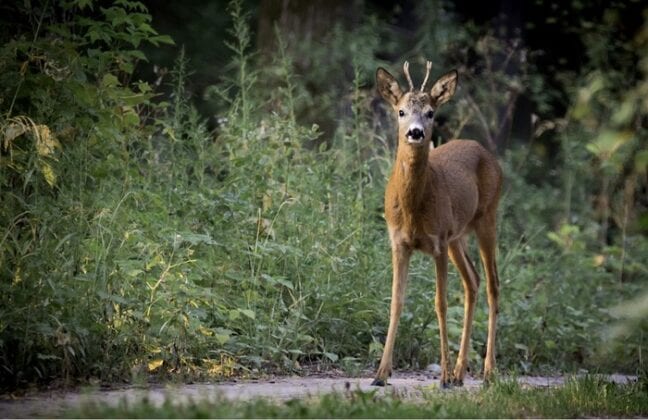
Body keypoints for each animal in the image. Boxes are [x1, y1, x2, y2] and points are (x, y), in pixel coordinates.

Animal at [371, 61, 503, 388]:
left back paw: (487, 371)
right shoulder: (399, 243)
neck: (412, 209)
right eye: (401, 111)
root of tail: (486, 152)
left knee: (493, 284)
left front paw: (441, 376)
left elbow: (440, 304)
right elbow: (396, 302)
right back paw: (459, 372)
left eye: (430, 112)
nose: (416, 132)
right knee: (473, 281)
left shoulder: (438, 241)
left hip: (487, 217)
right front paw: (380, 373)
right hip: (458, 236)